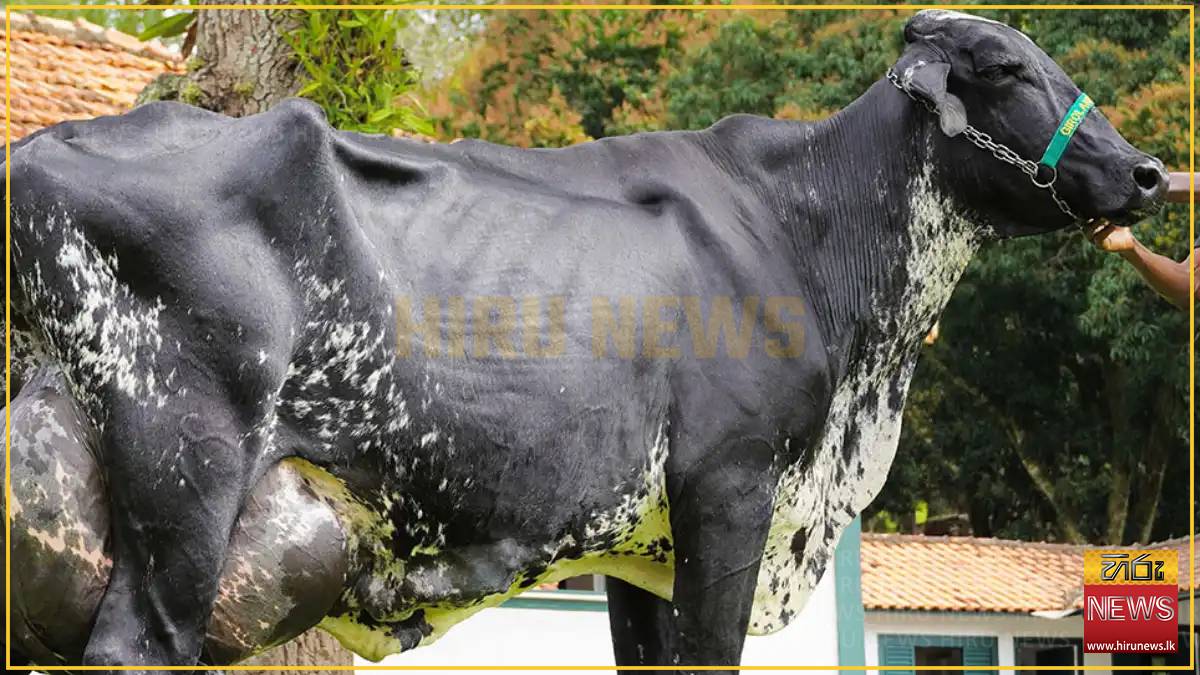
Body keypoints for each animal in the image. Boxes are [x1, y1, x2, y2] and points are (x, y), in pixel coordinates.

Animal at [4, 9, 1169, 673]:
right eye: (1006, 67)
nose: (1150, 172)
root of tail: (39, 152)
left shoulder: (639, 544)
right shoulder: (732, 484)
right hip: (184, 474)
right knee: (138, 644)